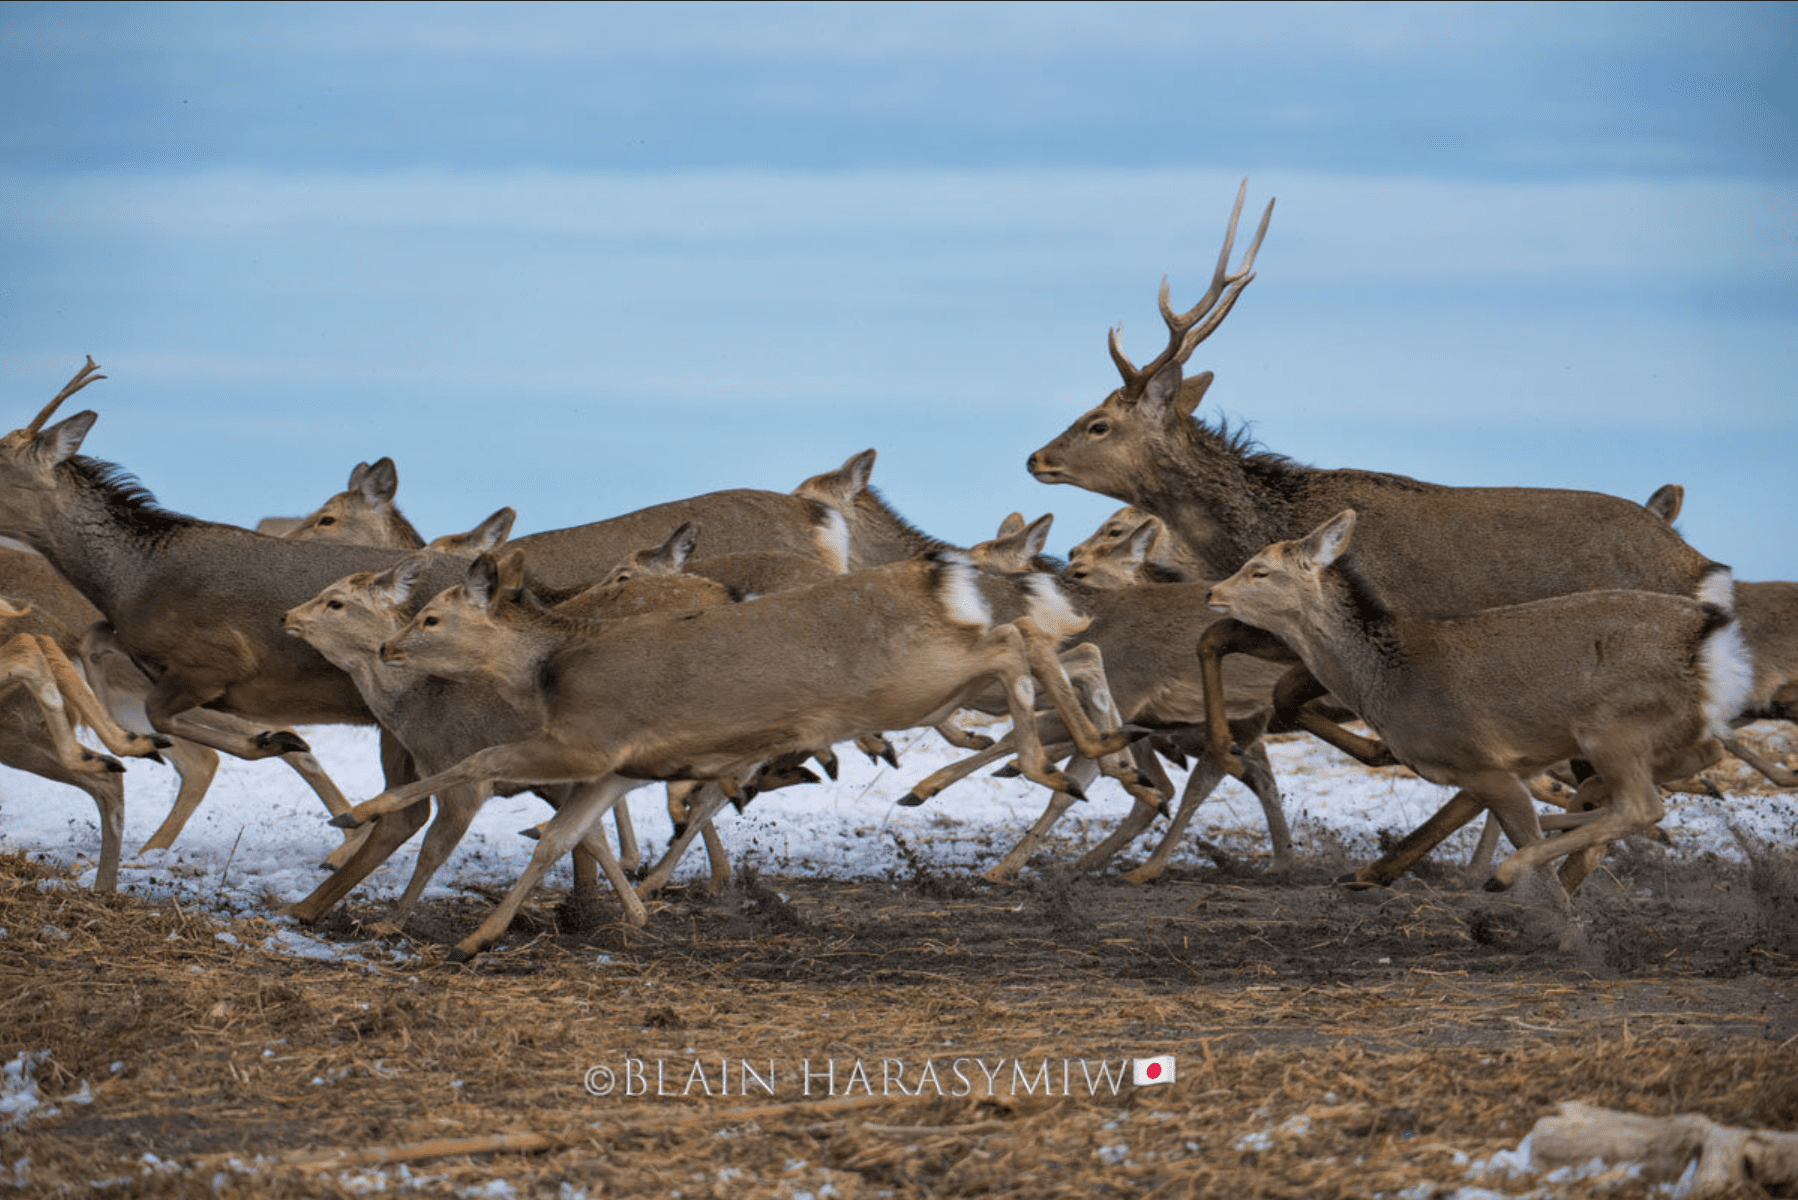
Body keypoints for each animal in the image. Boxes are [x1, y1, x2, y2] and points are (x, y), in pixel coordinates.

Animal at [327, 546, 1130, 961]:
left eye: (433, 617)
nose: (389, 647)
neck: (547, 672)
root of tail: (941, 574)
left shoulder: (588, 738)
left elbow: (475, 765)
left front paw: (359, 814)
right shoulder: (615, 765)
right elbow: (558, 836)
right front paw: (479, 937)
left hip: (911, 681)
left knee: (1018, 641)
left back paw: (1052, 763)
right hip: (935, 685)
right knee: (1047, 645)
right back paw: (1103, 748)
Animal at [1206, 509, 1753, 904]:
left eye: (1259, 570)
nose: (1212, 592)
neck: (1389, 684)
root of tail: (1716, 639)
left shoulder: (1481, 760)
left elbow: (1521, 838)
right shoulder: (1497, 766)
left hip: (1611, 727)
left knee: (1643, 804)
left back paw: (1509, 871)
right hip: (1670, 727)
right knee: (1698, 762)